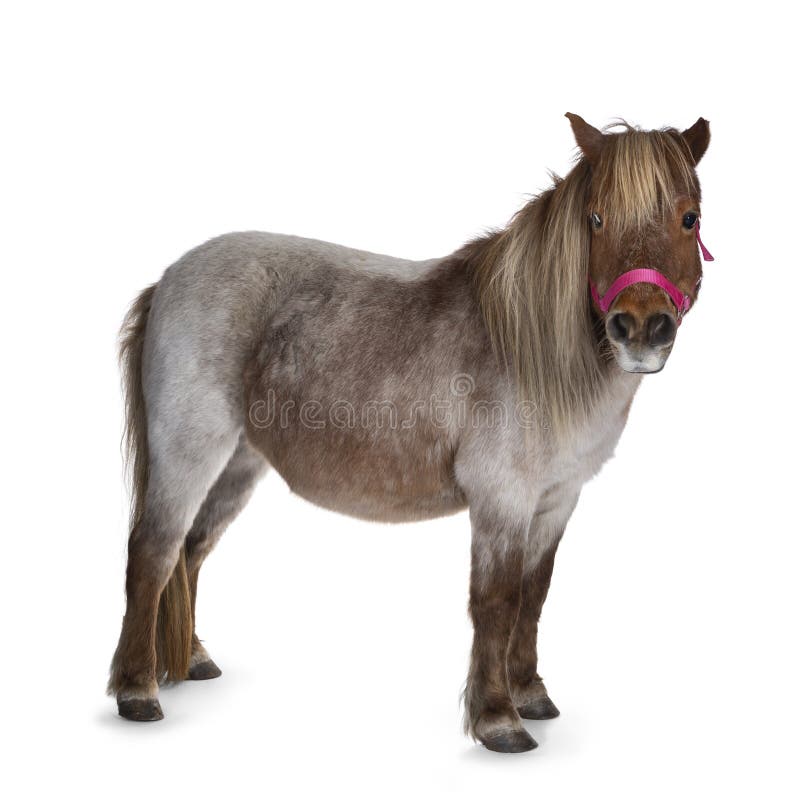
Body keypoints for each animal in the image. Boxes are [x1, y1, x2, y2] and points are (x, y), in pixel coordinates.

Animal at [108, 113, 712, 753]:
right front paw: (498, 720)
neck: (530, 348)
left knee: (191, 550)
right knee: (153, 553)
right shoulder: (502, 499)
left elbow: (534, 596)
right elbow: (496, 601)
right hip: (189, 452)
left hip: (237, 464)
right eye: (596, 218)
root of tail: (168, 280)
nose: (641, 327)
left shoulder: (555, 502)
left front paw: (531, 695)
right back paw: (138, 692)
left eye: (689, 217)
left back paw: (193, 661)